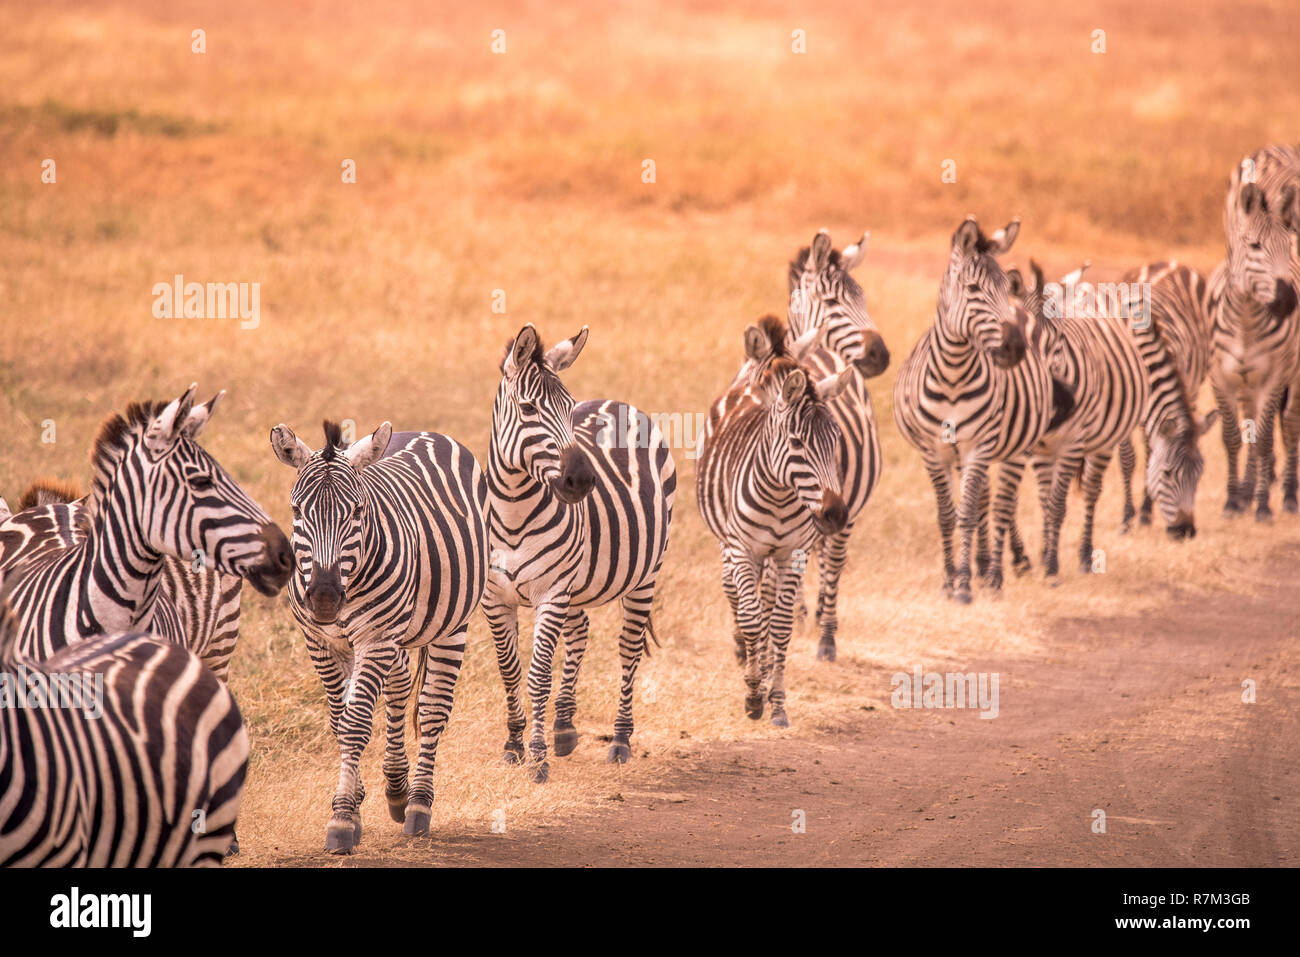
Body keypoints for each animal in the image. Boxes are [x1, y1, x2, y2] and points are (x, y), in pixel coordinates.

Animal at [270, 418, 488, 853]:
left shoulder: (376, 637)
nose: (324, 597)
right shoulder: (320, 642)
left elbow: (355, 723)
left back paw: (418, 804)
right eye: (297, 510)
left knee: (433, 708)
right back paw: (397, 788)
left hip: (451, 625)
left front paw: (340, 819)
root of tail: (427, 432)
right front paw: (354, 806)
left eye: (357, 511)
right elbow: (340, 721)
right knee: (400, 685)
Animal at [697, 347, 851, 724]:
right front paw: (753, 695)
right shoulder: (743, 550)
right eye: (797, 443)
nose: (836, 514)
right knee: (736, 597)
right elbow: (752, 620)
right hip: (729, 544)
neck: (780, 497)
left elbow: (779, 625)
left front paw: (777, 701)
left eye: (837, 442)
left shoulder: (793, 553)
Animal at [893, 216, 1058, 603]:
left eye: (1004, 289)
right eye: (972, 288)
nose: (1015, 347)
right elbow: (946, 515)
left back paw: (995, 574)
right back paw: (984, 567)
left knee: (1001, 507)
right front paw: (949, 579)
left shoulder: (978, 446)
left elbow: (967, 513)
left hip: (1016, 448)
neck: (952, 376)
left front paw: (964, 585)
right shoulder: (934, 451)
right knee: (986, 501)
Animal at [1209, 162, 1300, 521]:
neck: (1246, 323)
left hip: (1291, 376)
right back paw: (1247, 492)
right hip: (1245, 385)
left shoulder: (1272, 378)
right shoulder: (1220, 378)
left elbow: (1262, 441)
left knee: (1288, 426)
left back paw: (1287, 495)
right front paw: (1233, 500)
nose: (1288, 301)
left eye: (1287, 247)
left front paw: (1262, 505)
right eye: (1255, 246)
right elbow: (1233, 437)